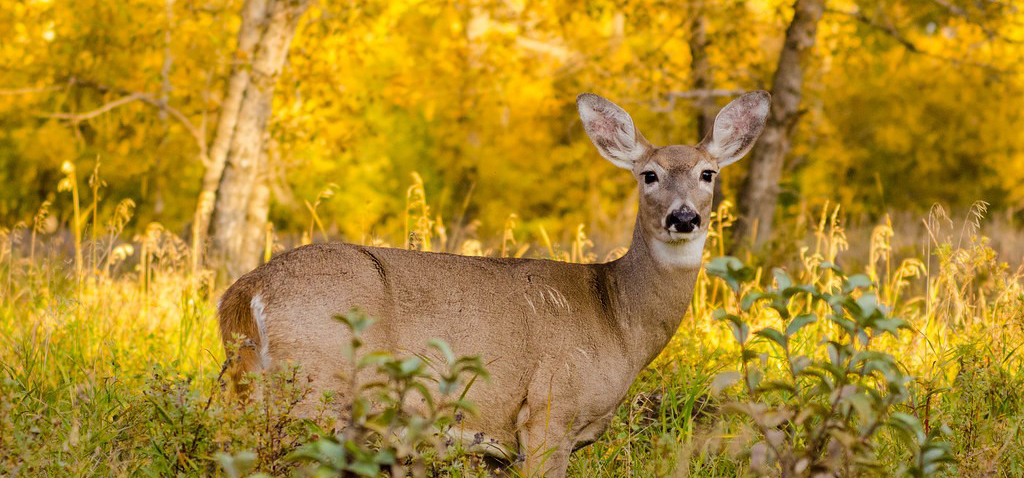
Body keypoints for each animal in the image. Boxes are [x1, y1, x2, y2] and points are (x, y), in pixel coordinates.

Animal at [218, 90, 770, 476]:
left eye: (708, 173)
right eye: (649, 175)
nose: (684, 218)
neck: (617, 316)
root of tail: (244, 294)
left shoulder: (499, 443)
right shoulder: (549, 411)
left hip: (249, 387)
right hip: (317, 387)